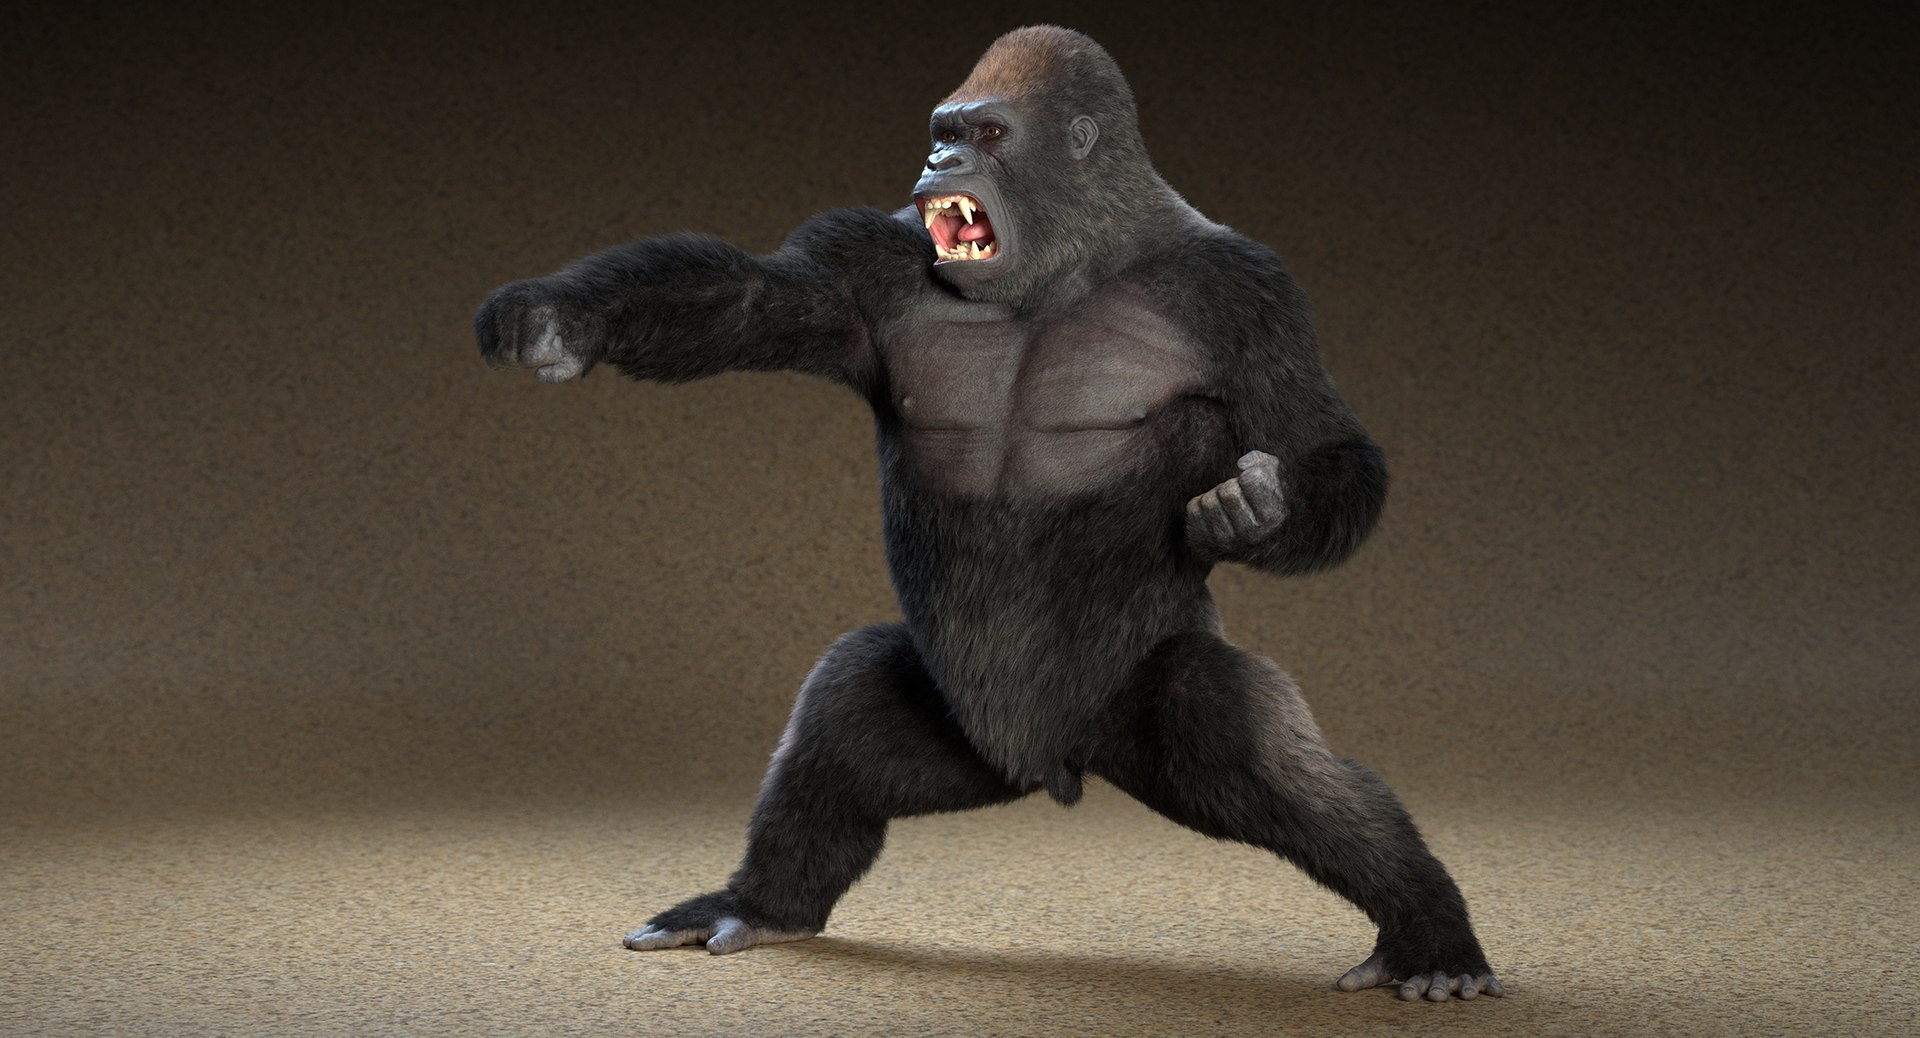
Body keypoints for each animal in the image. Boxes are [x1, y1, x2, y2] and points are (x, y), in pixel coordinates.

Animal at [475, 26, 1502, 1002]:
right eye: (942, 132)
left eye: (988, 135)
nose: (939, 163)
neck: (1077, 256)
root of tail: (1057, 769)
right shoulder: (868, 256)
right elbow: (749, 299)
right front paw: (559, 316)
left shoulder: (1249, 291)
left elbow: (1322, 441)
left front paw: (1263, 508)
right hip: (958, 735)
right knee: (850, 704)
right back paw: (765, 902)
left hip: (1126, 708)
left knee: (1241, 739)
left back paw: (1428, 929)